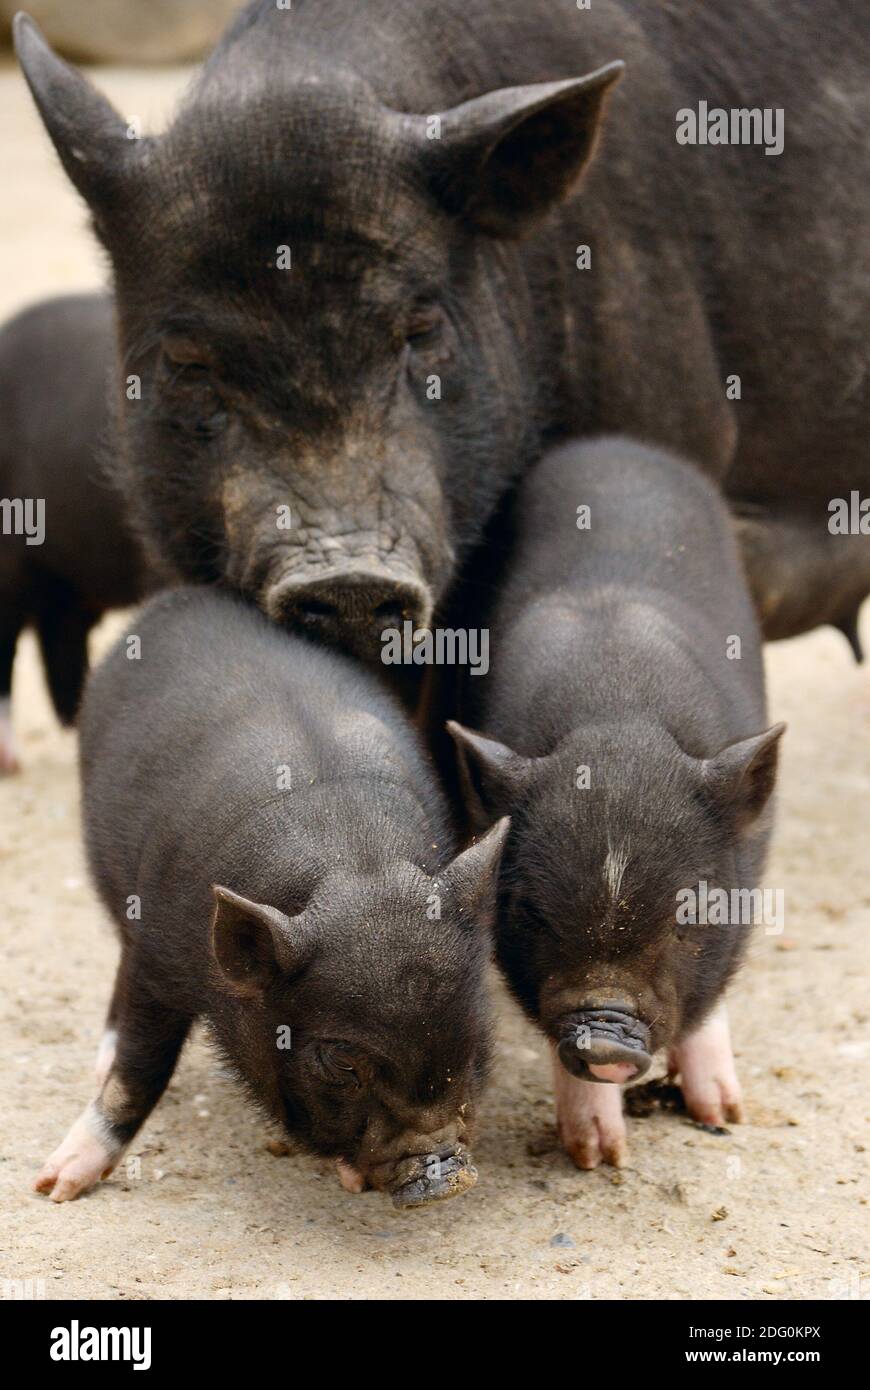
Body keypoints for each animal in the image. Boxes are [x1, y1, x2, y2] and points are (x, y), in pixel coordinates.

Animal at [34, 587, 507, 1206]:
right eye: (341, 1061)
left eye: (473, 1039)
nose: (445, 1174)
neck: (354, 862)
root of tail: (176, 598)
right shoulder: (158, 955)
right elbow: (139, 1070)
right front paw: (52, 1188)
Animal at [448, 438, 784, 1169]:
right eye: (530, 913)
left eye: (690, 916)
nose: (603, 1034)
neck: (618, 706)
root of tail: (616, 445)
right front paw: (599, 1158)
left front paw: (726, 1115)